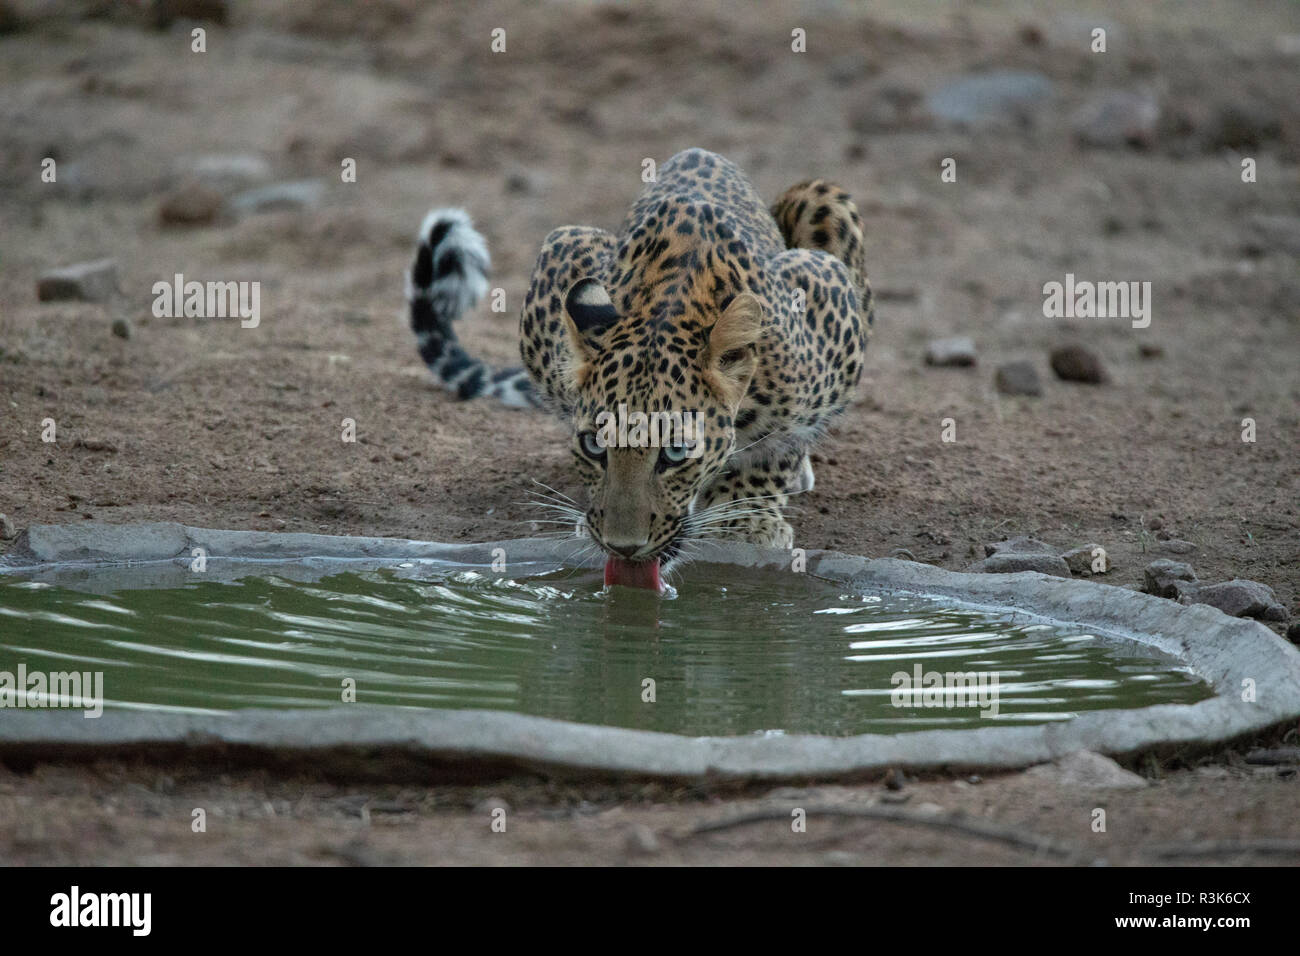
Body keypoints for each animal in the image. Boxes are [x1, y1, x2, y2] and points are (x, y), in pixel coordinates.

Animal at [406, 148, 873, 591]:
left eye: (676, 453)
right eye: (594, 446)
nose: (623, 548)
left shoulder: (826, 293)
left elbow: (783, 442)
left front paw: (745, 520)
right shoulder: (563, 250)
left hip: (823, 200)